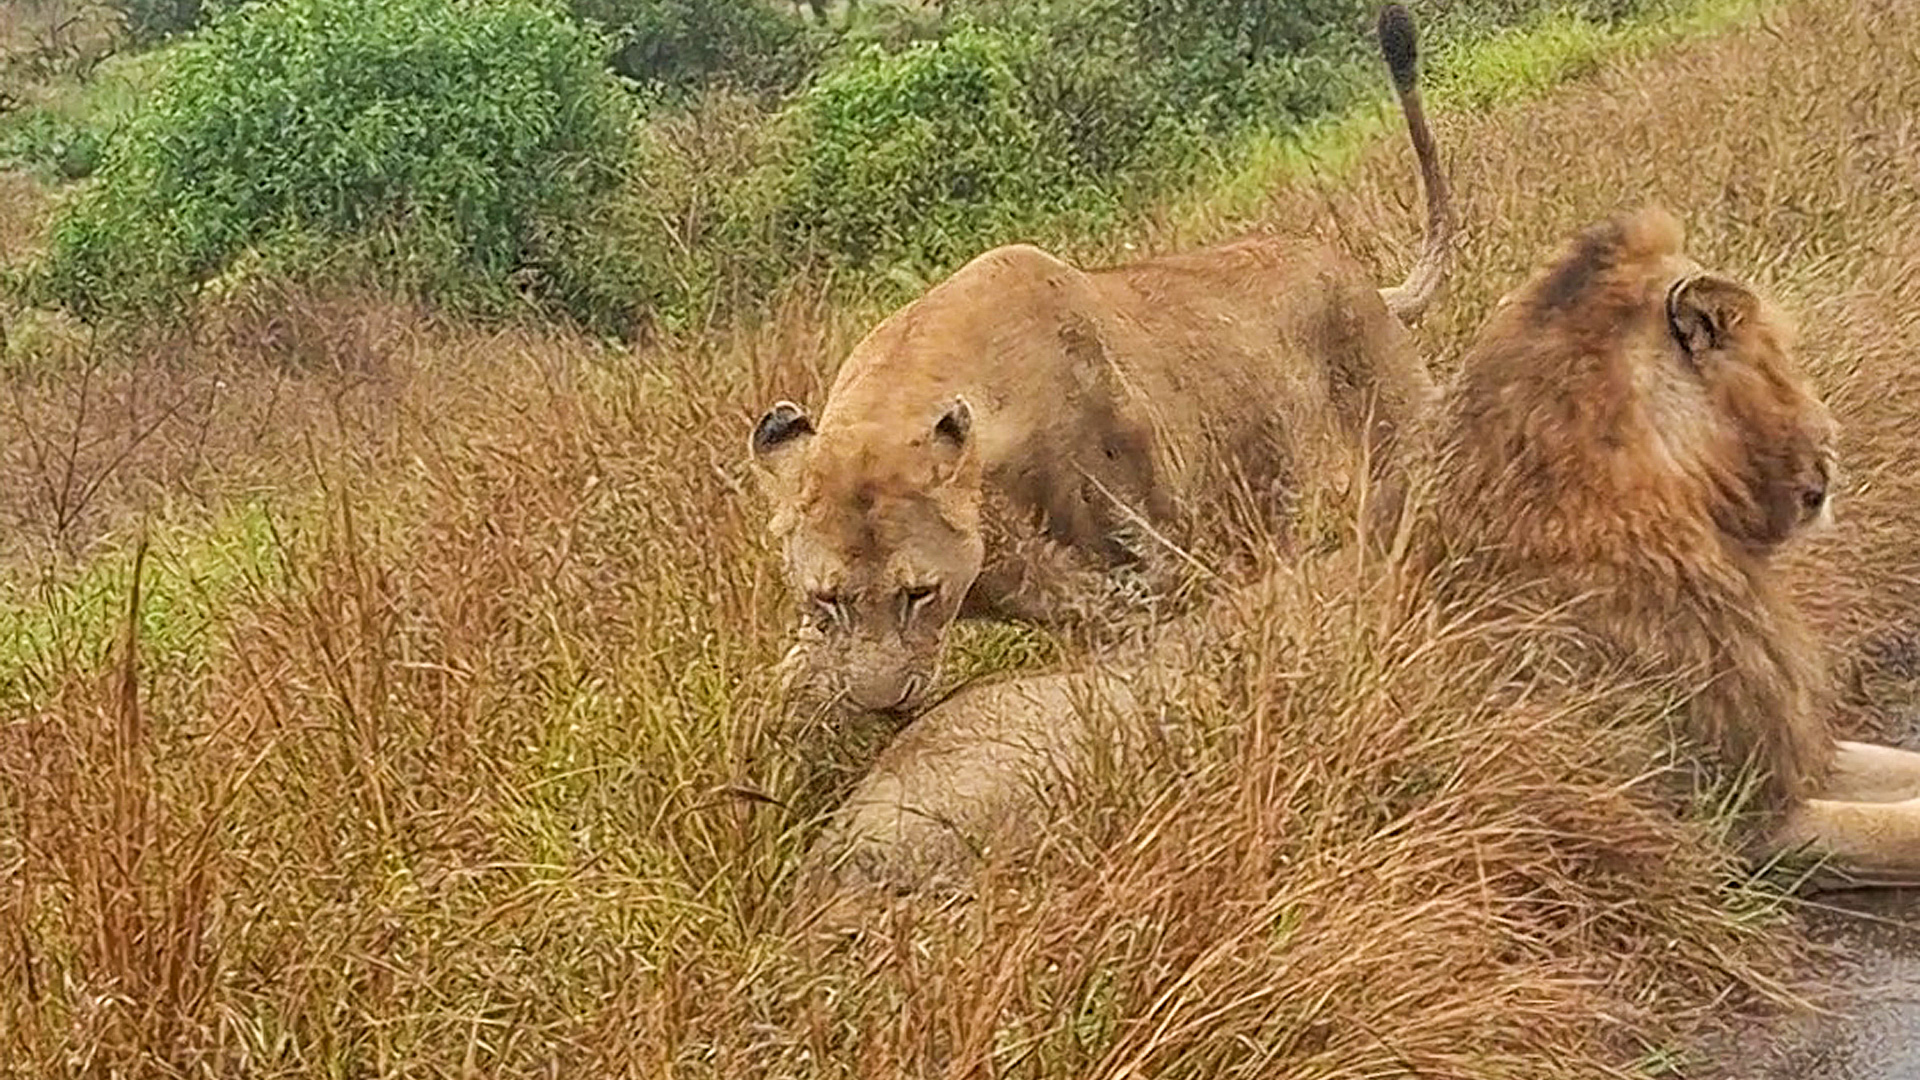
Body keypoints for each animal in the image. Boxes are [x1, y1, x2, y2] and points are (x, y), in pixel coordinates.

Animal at [748, 3, 1454, 716]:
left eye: (918, 594)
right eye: (828, 599)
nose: (883, 704)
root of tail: (1365, 283)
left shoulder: (1155, 556)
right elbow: (789, 677)